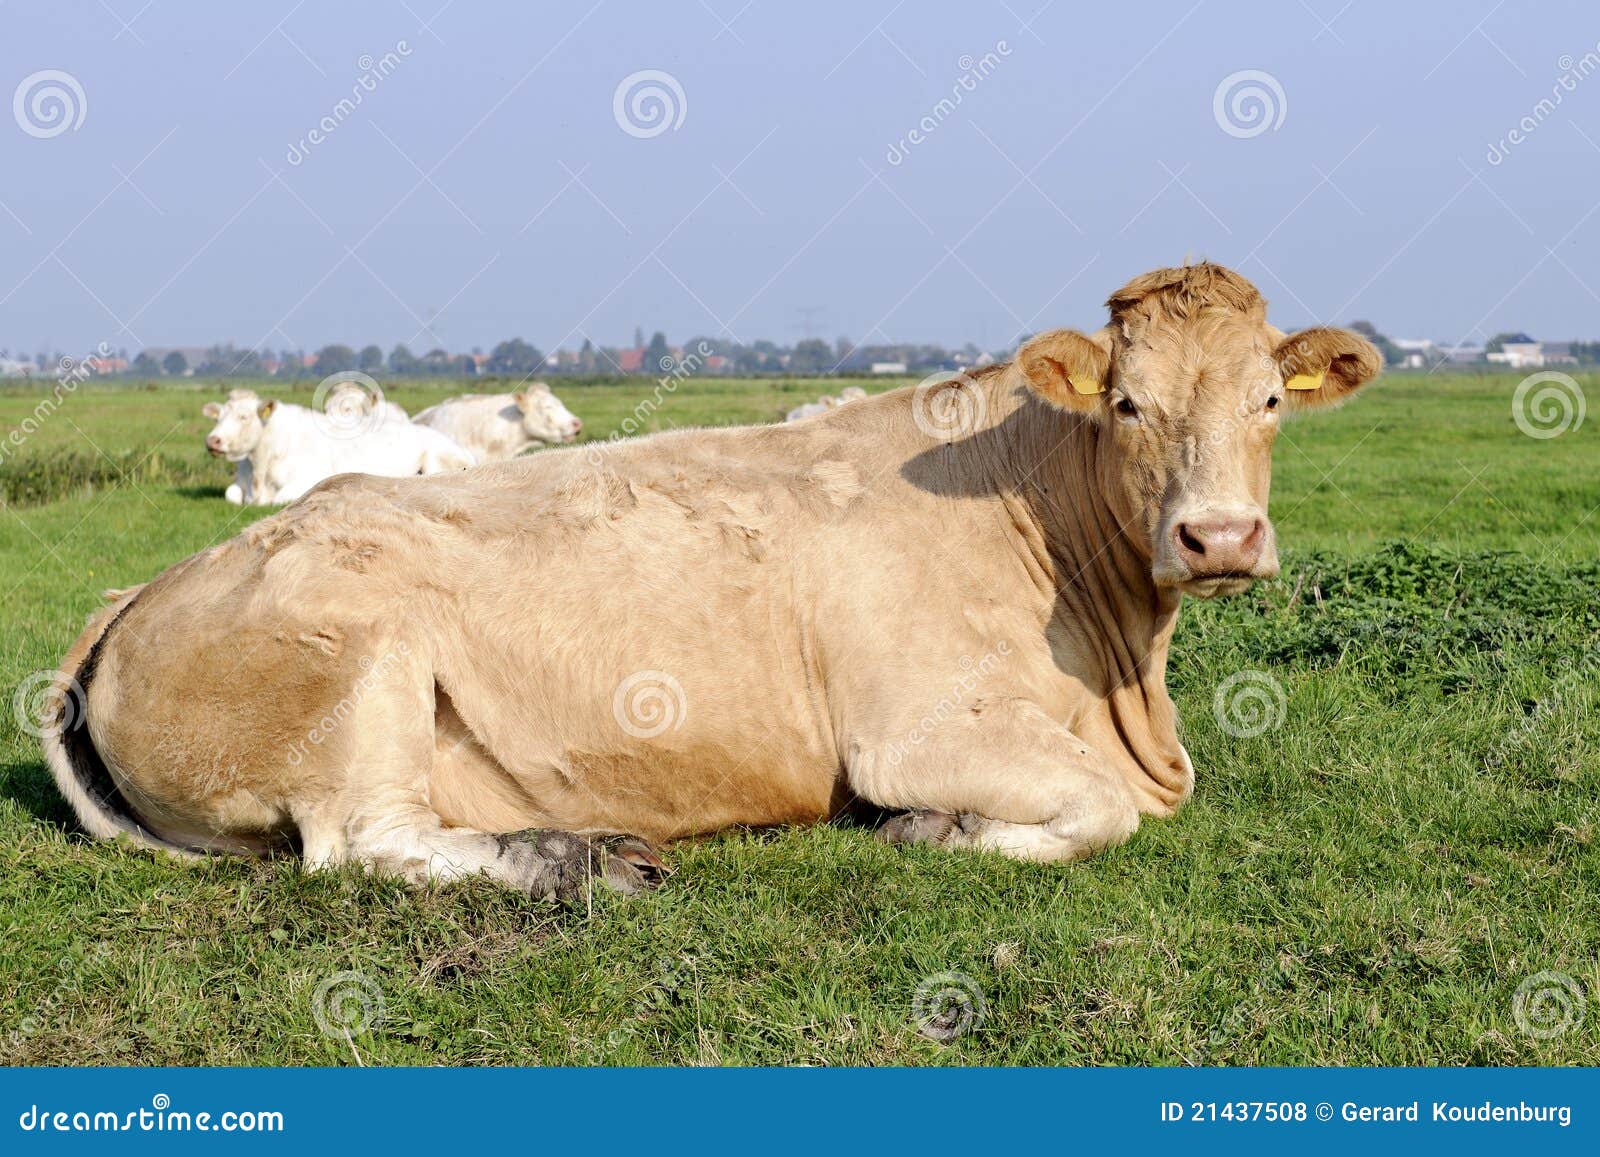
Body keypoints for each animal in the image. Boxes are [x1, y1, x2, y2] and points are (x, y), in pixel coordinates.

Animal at [202, 393, 475, 506]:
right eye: (219, 416)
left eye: (244, 417)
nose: (213, 440)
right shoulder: (241, 485)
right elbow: (231, 495)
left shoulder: (305, 481)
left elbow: (276, 501)